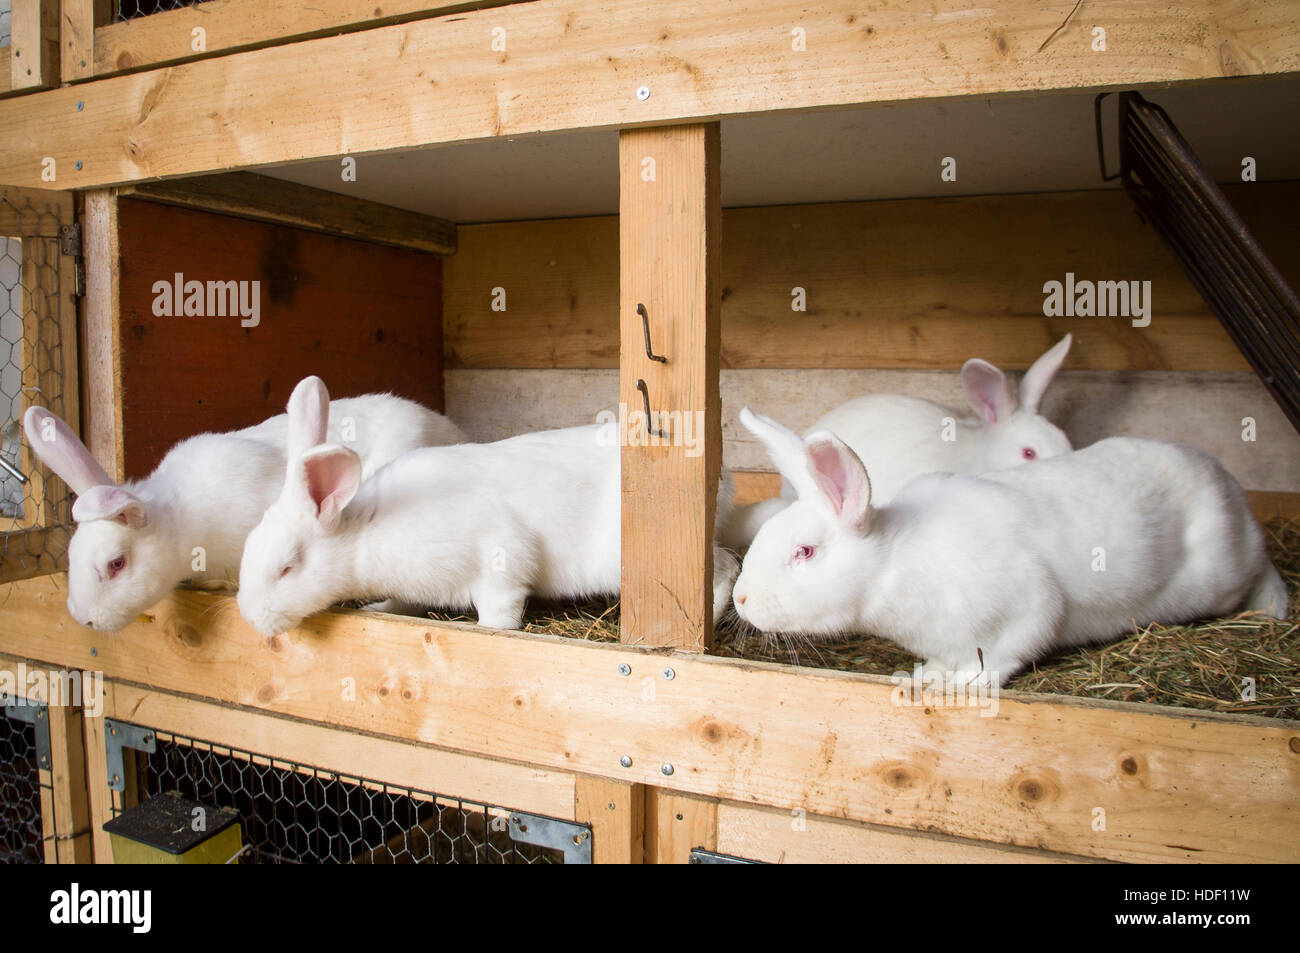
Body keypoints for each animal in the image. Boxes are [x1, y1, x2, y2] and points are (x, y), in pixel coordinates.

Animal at [237, 375, 739, 638]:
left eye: (286, 569)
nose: (250, 618)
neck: (367, 529)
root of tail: (720, 476)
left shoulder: (500, 561)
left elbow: (501, 606)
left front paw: (492, 632)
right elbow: (403, 602)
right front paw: (380, 607)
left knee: (726, 569)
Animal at [730, 406, 1289, 687]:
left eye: (805, 552)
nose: (740, 599)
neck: (894, 560)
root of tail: (1227, 482)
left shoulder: (1028, 604)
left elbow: (1015, 646)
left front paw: (963, 686)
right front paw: (930, 675)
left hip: (1224, 572)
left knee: (1260, 568)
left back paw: (1274, 608)